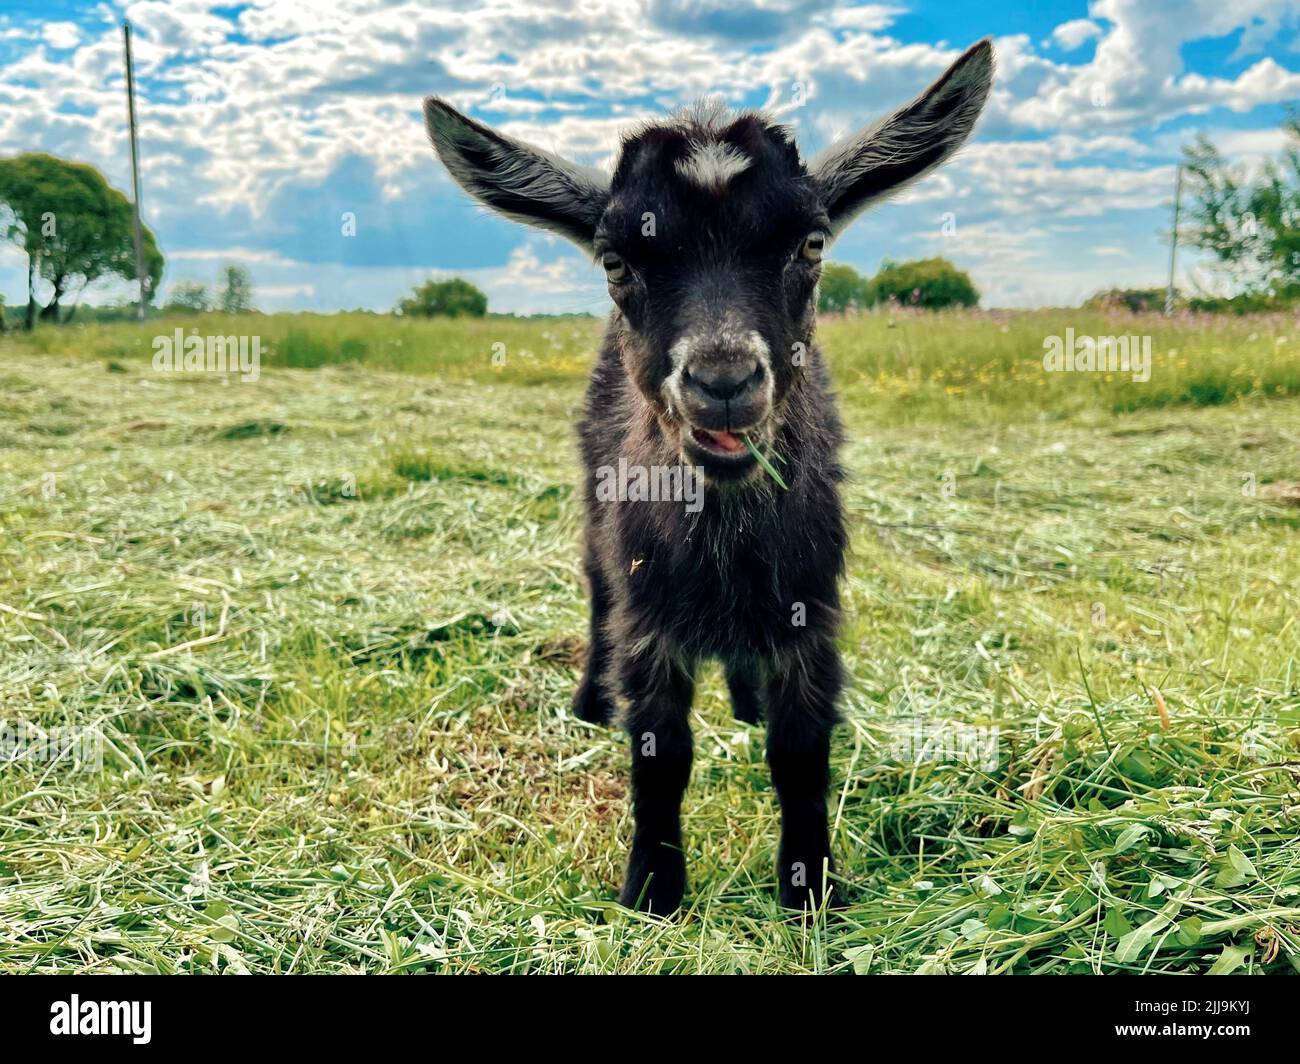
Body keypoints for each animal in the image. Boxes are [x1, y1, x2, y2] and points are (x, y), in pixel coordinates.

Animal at [424, 40, 993, 913]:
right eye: (616, 259)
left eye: (812, 244)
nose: (723, 379)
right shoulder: (650, 612)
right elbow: (662, 752)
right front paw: (653, 890)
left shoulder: (812, 610)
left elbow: (801, 751)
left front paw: (809, 887)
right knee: (596, 594)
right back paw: (591, 702)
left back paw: (745, 701)